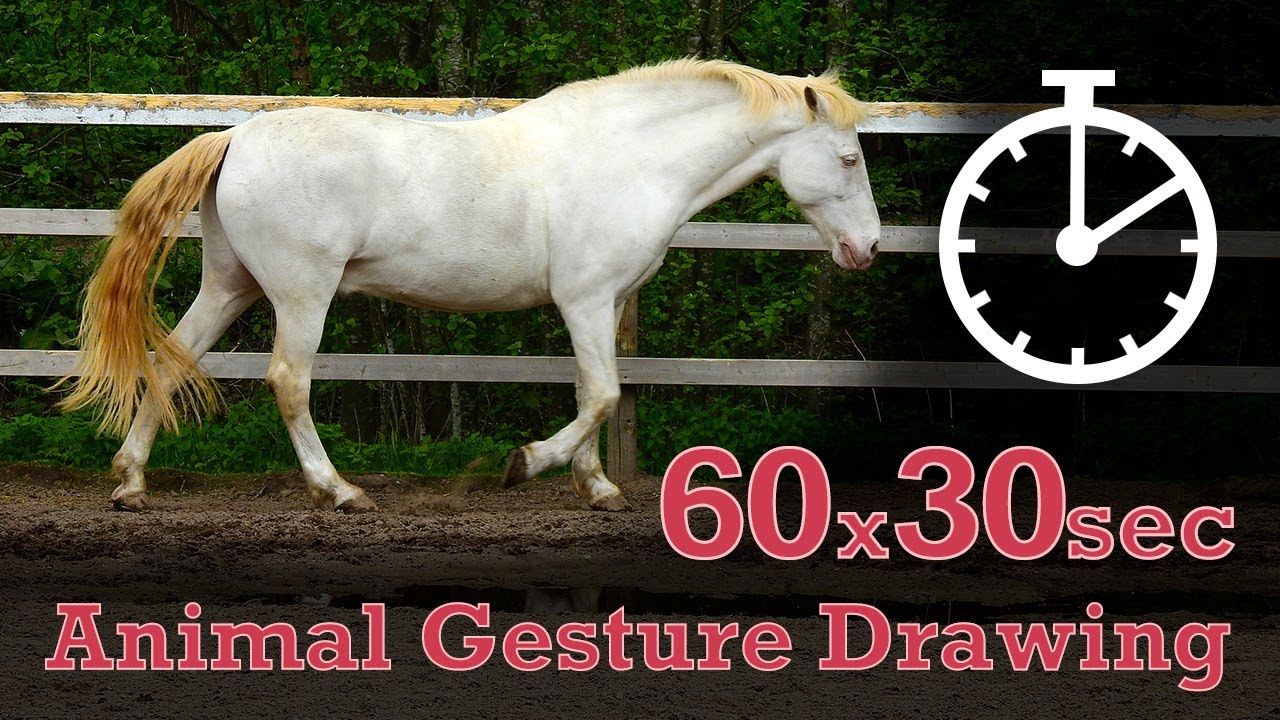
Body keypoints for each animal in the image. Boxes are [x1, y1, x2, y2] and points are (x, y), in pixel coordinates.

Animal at [57, 59, 881, 514]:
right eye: (847, 158)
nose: (868, 248)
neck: (628, 158)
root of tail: (234, 136)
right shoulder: (585, 300)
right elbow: (604, 394)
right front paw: (527, 465)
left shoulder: (603, 304)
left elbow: (592, 391)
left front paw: (597, 489)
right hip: (301, 294)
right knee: (288, 382)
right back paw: (339, 491)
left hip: (230, 286)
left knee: (168, 363)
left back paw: (130, 484)